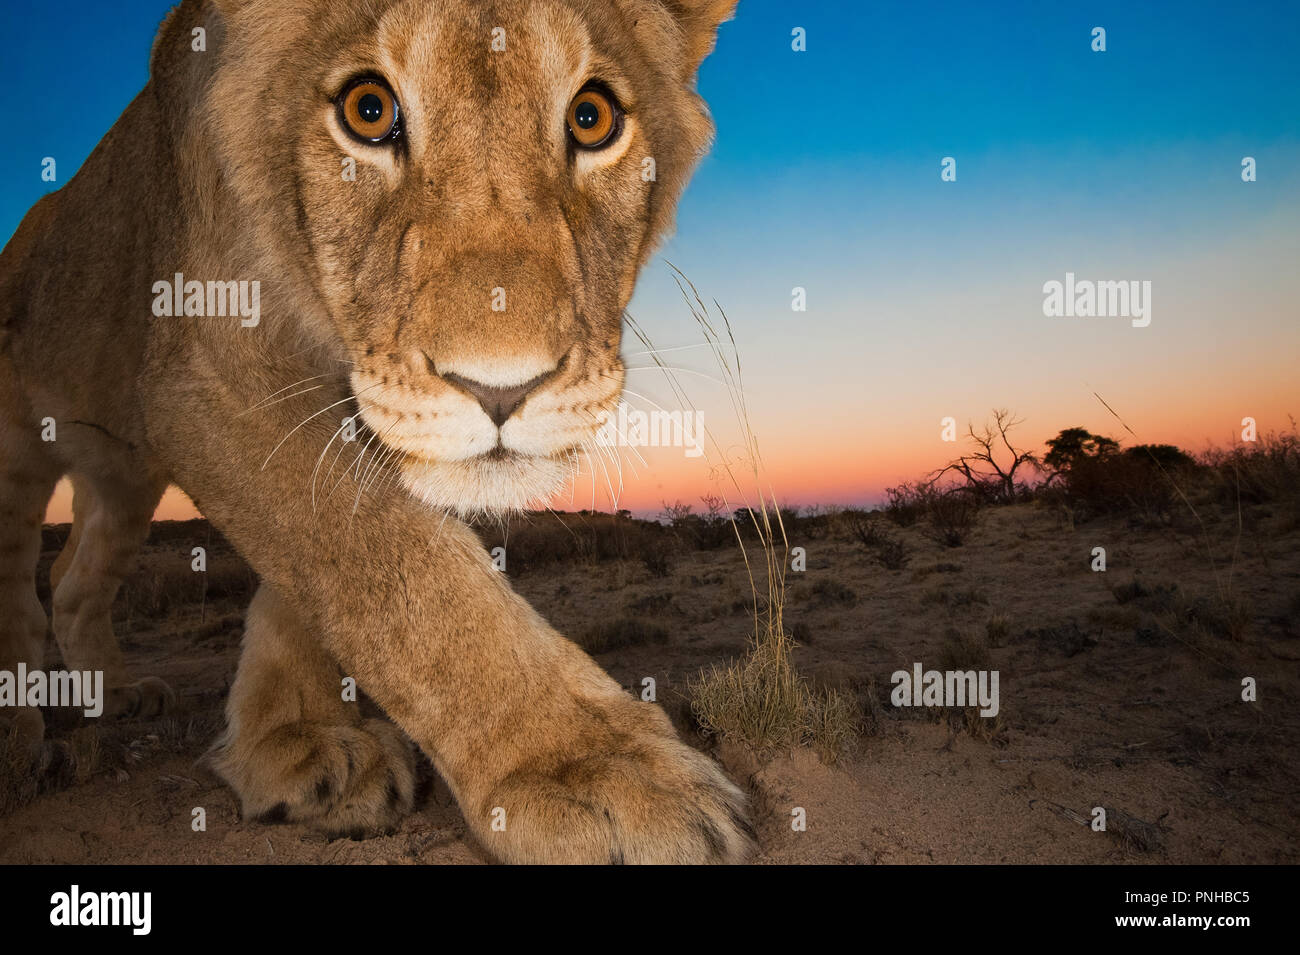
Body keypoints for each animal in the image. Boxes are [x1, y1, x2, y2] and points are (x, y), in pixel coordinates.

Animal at [0, 0, 752, 863]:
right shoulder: (209, 368)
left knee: (74, 576)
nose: (503, 389)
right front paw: (586, 769)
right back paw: (21, 744)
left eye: (592, 119)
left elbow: (324, 570)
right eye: (368, 110)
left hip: (123, 477)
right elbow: (391, 567)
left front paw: (295, 743)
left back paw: (120, 695)